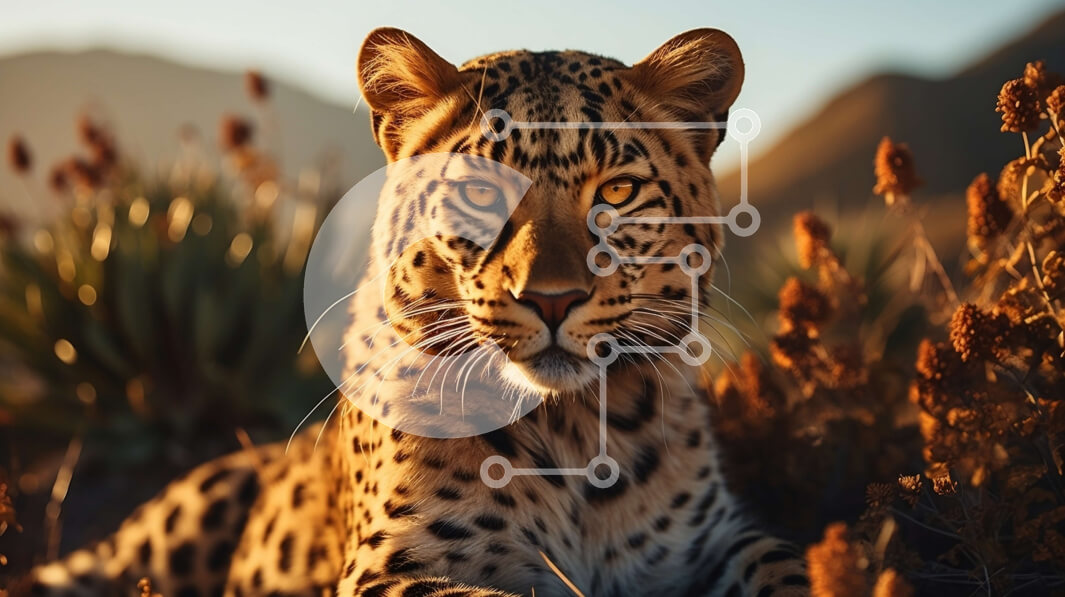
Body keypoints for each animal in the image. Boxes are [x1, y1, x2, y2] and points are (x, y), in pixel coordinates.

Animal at [14, 27, 810, 597]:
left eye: (615, 192)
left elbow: (788, 562)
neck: (575, 435)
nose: (552, 298)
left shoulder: (714, 540)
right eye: (481, 191)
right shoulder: (394, 566)